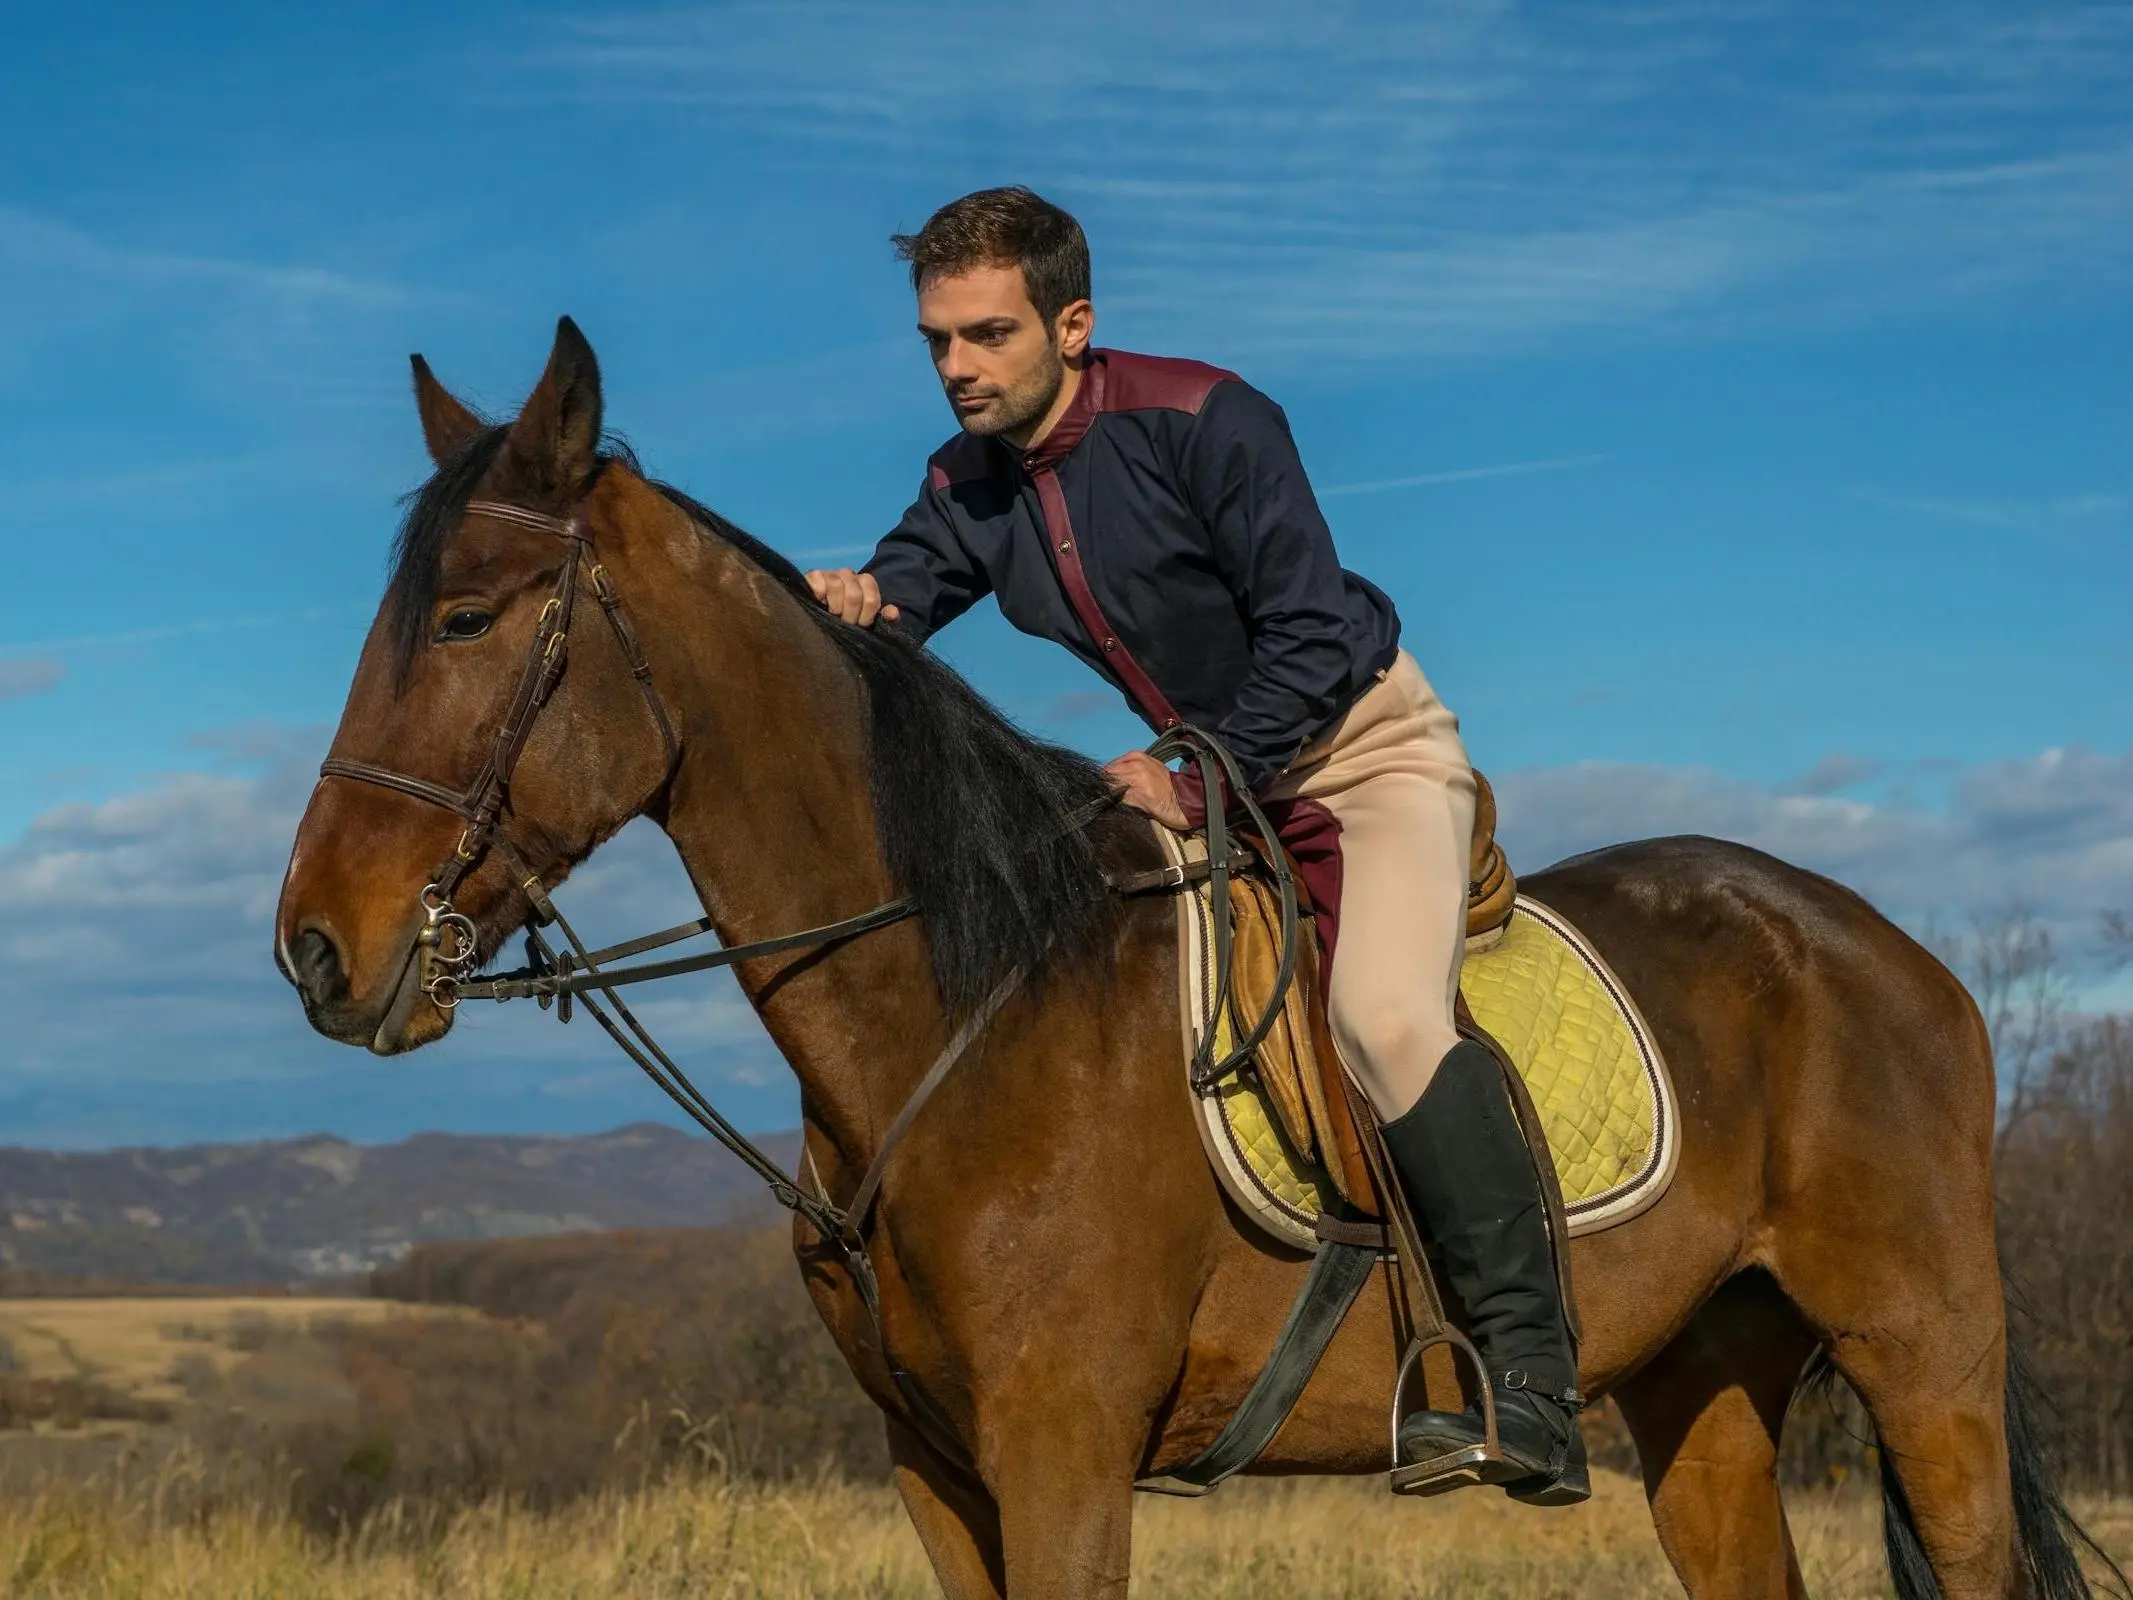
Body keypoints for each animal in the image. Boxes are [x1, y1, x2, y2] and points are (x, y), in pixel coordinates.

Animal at [276, 318, 2119, 1599]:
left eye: (467, 619)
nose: (314, 949)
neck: (958, 1019)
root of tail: (1882, 947)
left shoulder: (1064, 1452)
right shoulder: (937, 1472)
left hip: (1926, 1361)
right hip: (1704, 1387)